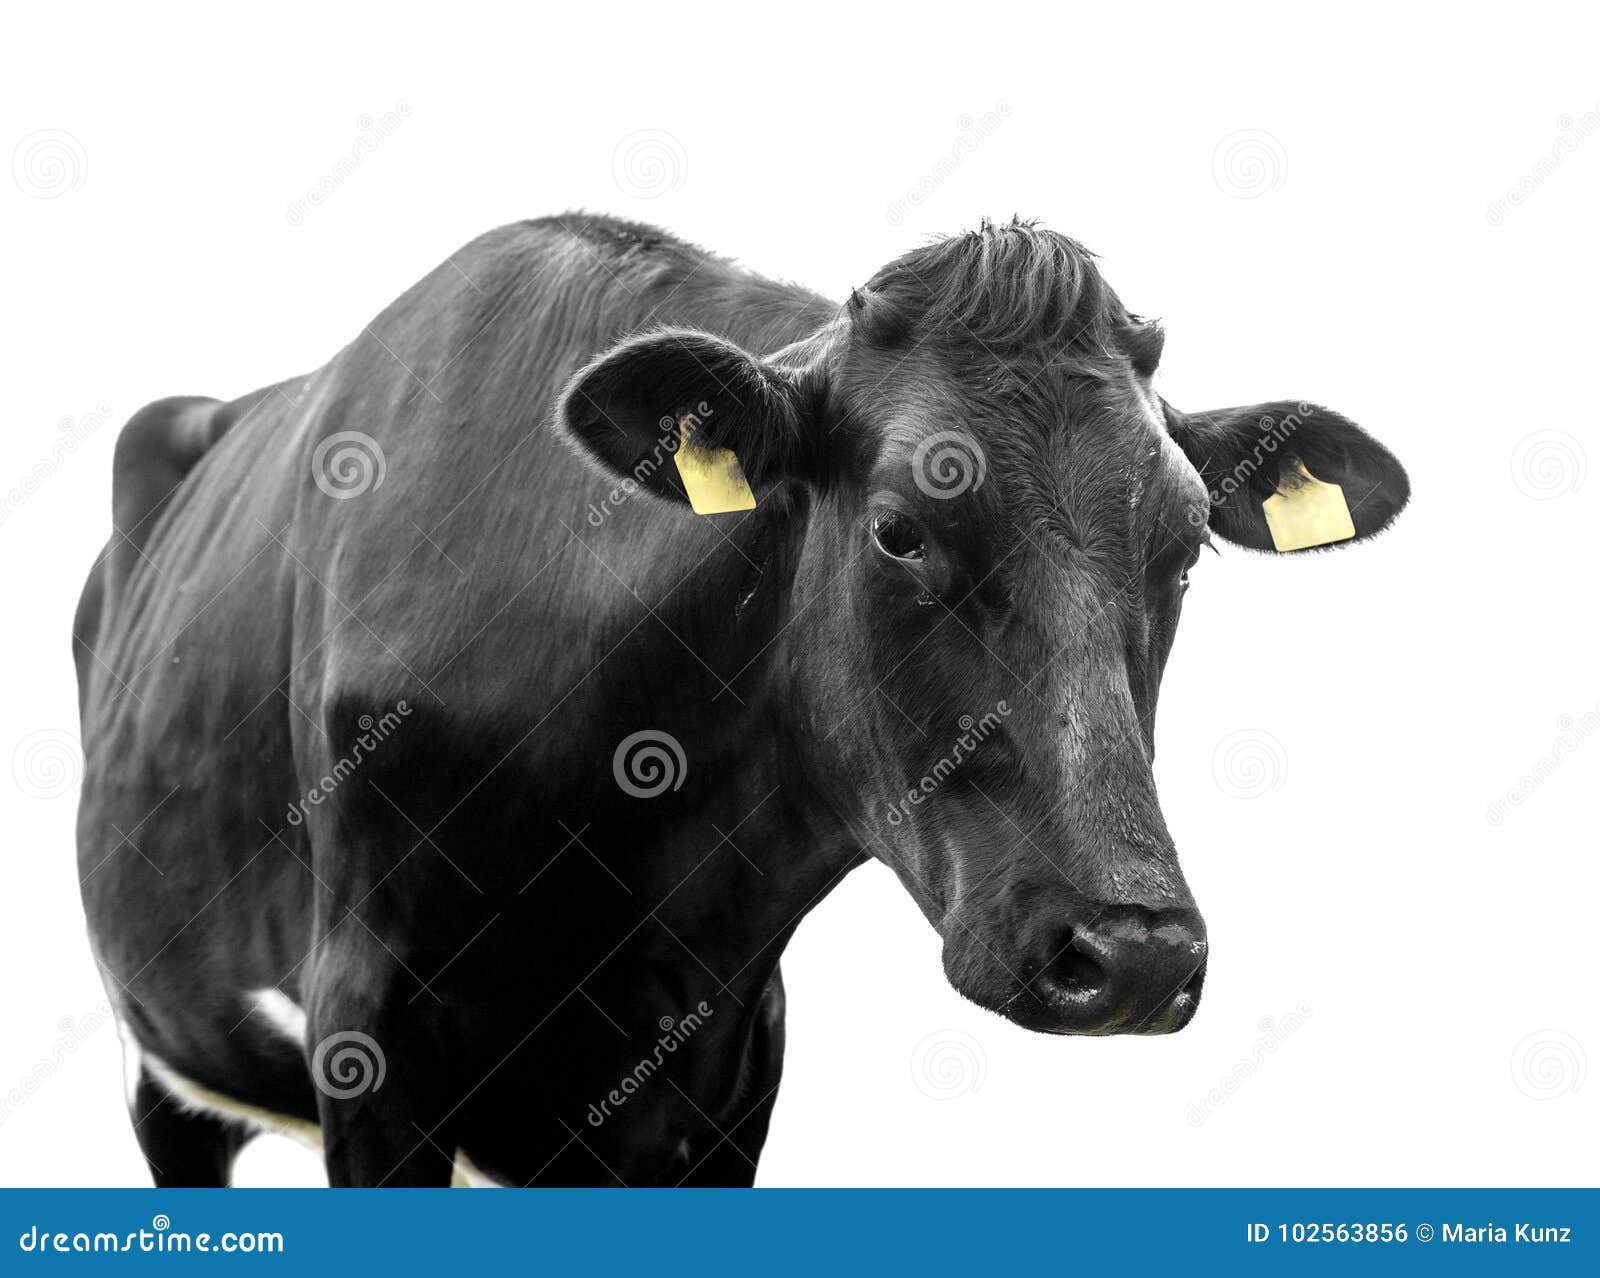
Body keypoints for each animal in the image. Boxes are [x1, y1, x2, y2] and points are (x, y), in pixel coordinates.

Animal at [73, 214, 1408, 1187]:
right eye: (898, 530)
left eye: (1183, 549)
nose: (1130, 954)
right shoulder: (369, 1033)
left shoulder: (728, 1057)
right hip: (160, 1060)